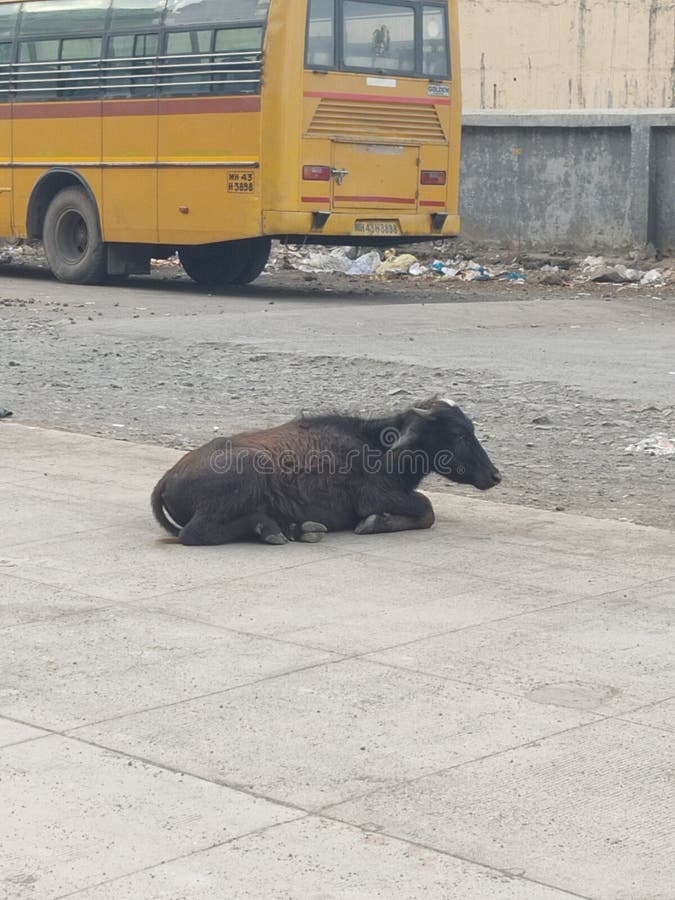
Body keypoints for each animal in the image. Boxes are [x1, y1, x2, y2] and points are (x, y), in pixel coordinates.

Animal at [151, 397, 500, 546]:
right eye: (460, 434)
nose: (495, 476)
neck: (379, 447)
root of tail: (167, 478)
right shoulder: (376, 497)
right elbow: (427, 509)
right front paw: (374, 524)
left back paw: (295, 528)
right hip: (249, 471)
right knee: (194, 534)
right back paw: (275, 530)